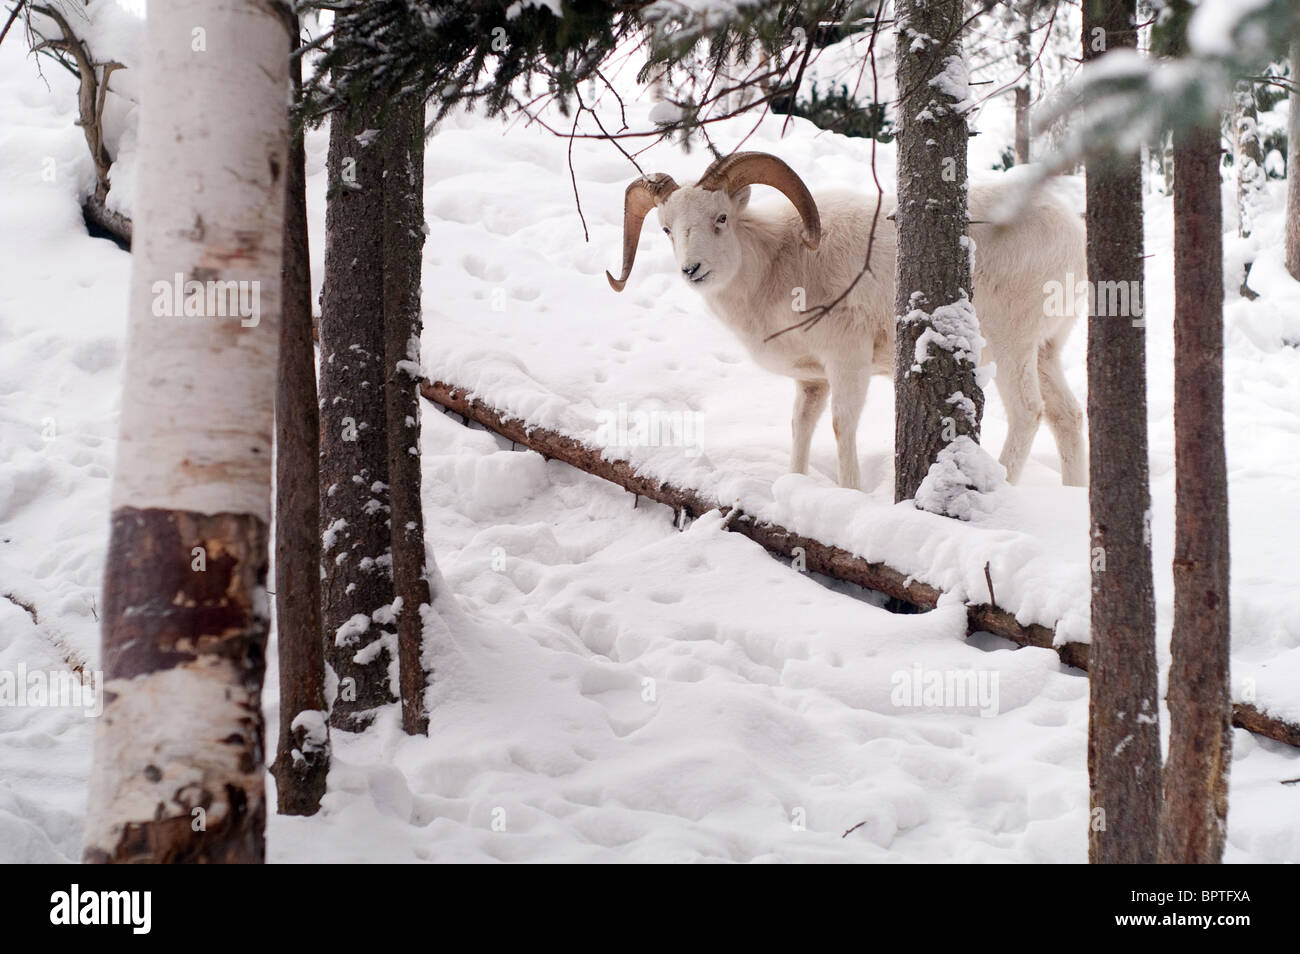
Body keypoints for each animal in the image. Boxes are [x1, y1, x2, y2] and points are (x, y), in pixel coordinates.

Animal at [606, 151, 1086, 491]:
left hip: (1009, 346)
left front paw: (849, 493)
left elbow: (842, 426)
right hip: (1045, 352)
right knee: (1066, 414)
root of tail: (1072, 234)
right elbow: (801, 427)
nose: (693, 270)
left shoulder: (847, 362)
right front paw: (795, 484)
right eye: (667, 228)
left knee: (1028, 412)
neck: (780, 265)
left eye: (721, 217)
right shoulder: (812, 380)